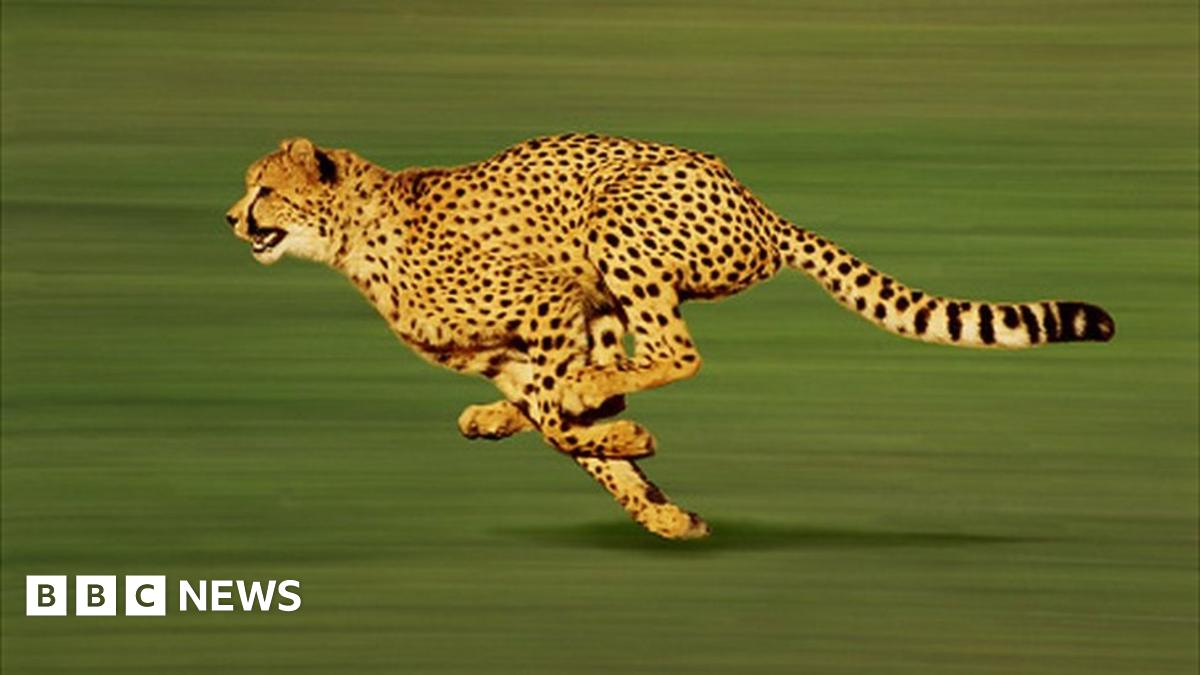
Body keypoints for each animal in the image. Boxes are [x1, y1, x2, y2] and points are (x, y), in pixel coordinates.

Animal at [226, 134, 1115, 540]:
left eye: (264, 189)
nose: (231, 218)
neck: (353, 236)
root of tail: (757, 203)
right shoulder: (522, 346)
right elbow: (566, 431)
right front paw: (661, 512)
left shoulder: (549, 306)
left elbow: (569, 420)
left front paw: (632, 451)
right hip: (608, 287)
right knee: (618, 365)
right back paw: (503, 419)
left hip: (616, 222)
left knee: (673, 353)